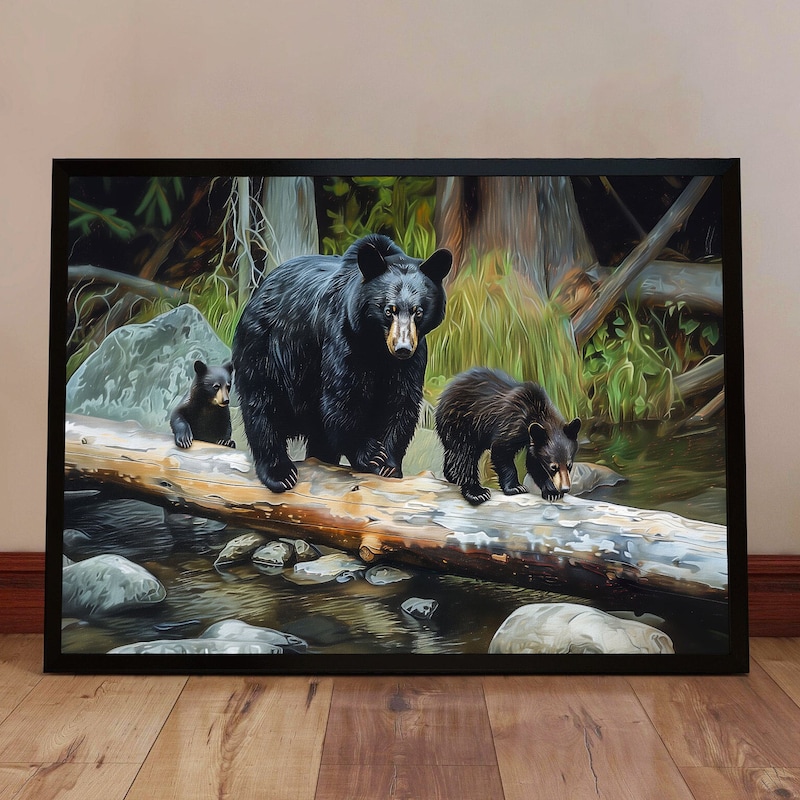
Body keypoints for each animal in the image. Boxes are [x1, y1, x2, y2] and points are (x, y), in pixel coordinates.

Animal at [232, 233, 453, 493]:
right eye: (389, 310)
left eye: (418, 311)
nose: (402, 348)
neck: (376, 345)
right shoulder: (344, 336)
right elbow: (344, 397)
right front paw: (371, 454)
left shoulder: (412, 359)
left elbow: (400, 401)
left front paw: (389, 464)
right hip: (265, 347)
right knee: (263, 406)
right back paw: (280, 472)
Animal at [435, 367, 581, 504]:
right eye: (553, 467)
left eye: (569, 465)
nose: (565, 488)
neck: (536, 412)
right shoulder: (511, 424)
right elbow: (501, 451)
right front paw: (515, 487)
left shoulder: (533, 440)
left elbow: (533, 462)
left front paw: (551, 491)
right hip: (461, 423)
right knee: (464, 455)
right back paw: (477, 492)